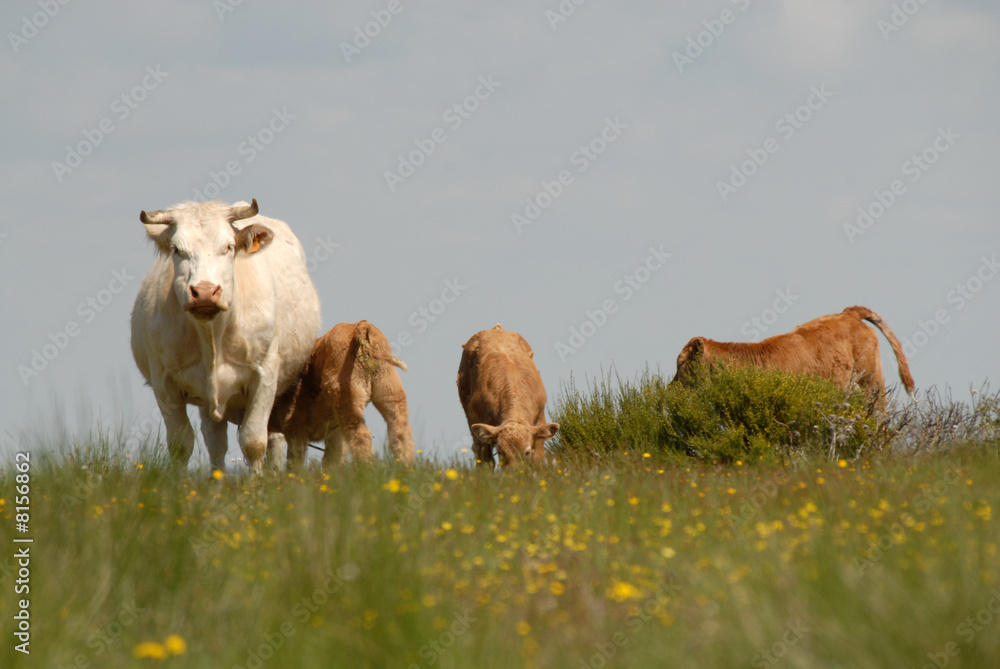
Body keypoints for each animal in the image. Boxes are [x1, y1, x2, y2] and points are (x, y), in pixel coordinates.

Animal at [130, 199, 321, 475]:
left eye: (229, 246)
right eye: (177, 249)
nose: (205, 292)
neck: (212, 335)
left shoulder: (265, 375)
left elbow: (254, 441)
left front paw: (257, 484)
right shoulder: (163, 382)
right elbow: (180, 443)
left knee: (274, 438)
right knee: (215, 439)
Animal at [271, 320, 416, 467]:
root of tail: (362, 325)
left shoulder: (294, 427)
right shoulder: (334, 435)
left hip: (346, 399)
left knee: (361, 435)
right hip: (391, 396)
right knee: (400, 433)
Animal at [457, 324, 559, 468]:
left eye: (527, 452)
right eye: (500, 452)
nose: (515, 471)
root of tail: (496, 329)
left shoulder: (540, 419)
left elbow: (538, 458)